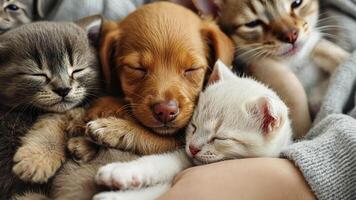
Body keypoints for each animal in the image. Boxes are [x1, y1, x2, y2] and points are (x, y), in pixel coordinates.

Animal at [69, 1, 235, 158]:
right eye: (137, 68)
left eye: (191, 69)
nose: (166, 111)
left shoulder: (178, 144)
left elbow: (151, 138)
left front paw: (114, 129)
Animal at [93, 60, 294, 200]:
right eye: (194, 125)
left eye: (219, 138)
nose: (193, 148)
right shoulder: (186, 157)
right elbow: (161, 162)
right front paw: (123, 171)